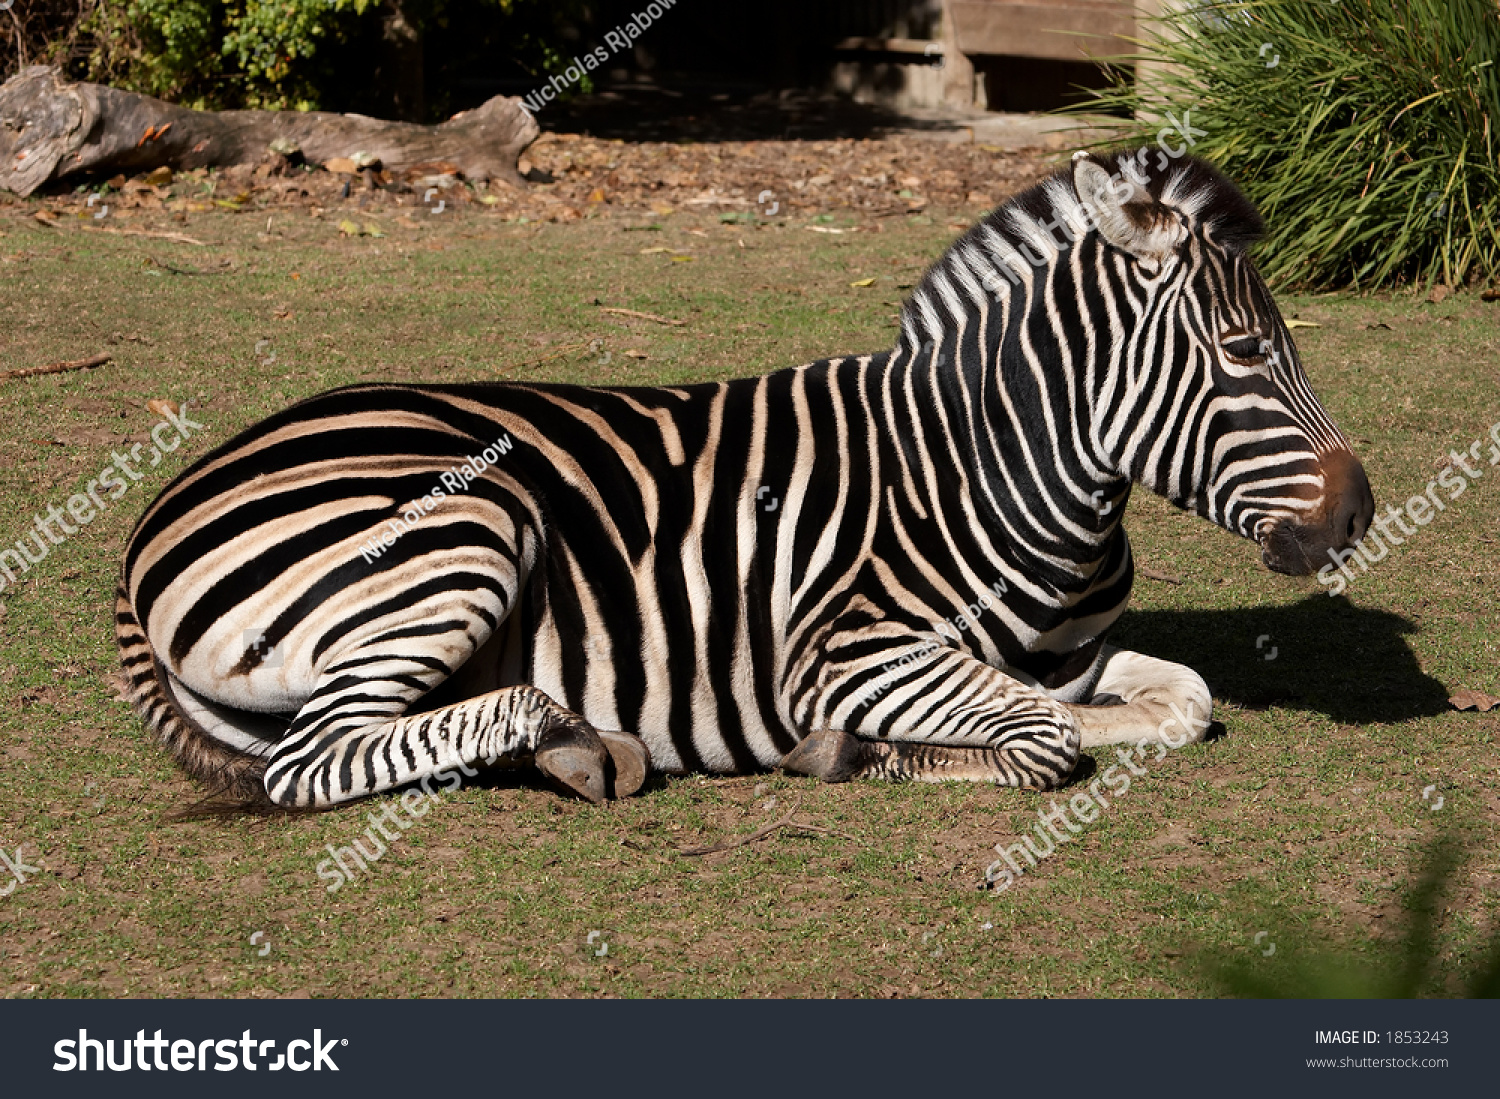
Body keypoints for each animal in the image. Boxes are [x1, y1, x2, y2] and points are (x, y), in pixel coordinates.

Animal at [115, 148, 1374, 809]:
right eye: (1247, 352)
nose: (1359, 510)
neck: (995, 474)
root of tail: (153, 517)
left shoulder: (1062, 655)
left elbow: (1179, 701)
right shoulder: (847, 652)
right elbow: (1045, 738)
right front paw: (847, 749)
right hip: (464, 524)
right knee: (310, 759)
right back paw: (577, 739)